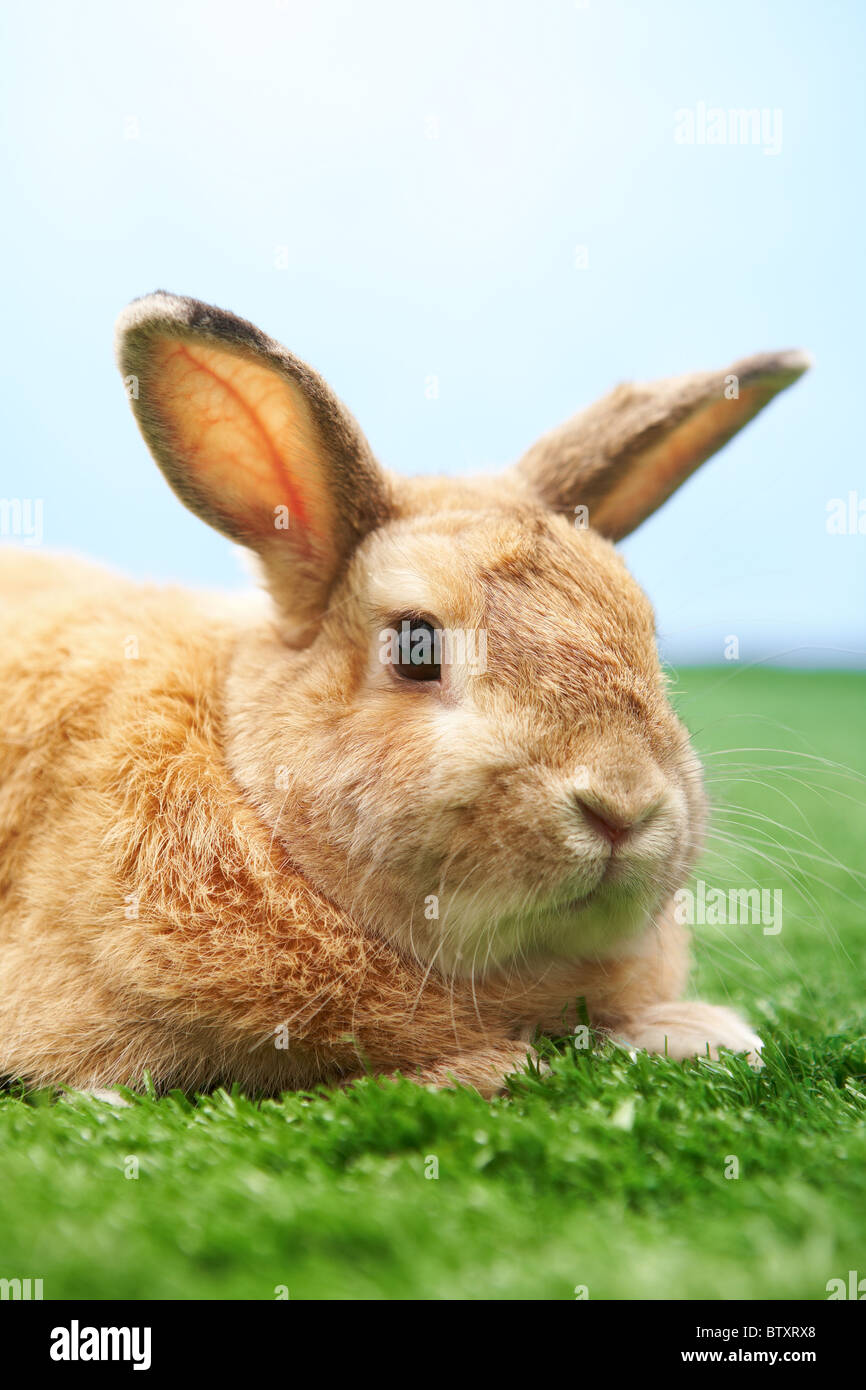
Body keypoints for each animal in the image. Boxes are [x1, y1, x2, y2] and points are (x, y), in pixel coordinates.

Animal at [0, 291, 810, 1098]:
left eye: (646, 629)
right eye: (416, 648)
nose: (623, 805)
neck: (247, 789)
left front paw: (706, 1035)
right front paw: (506, 1064)